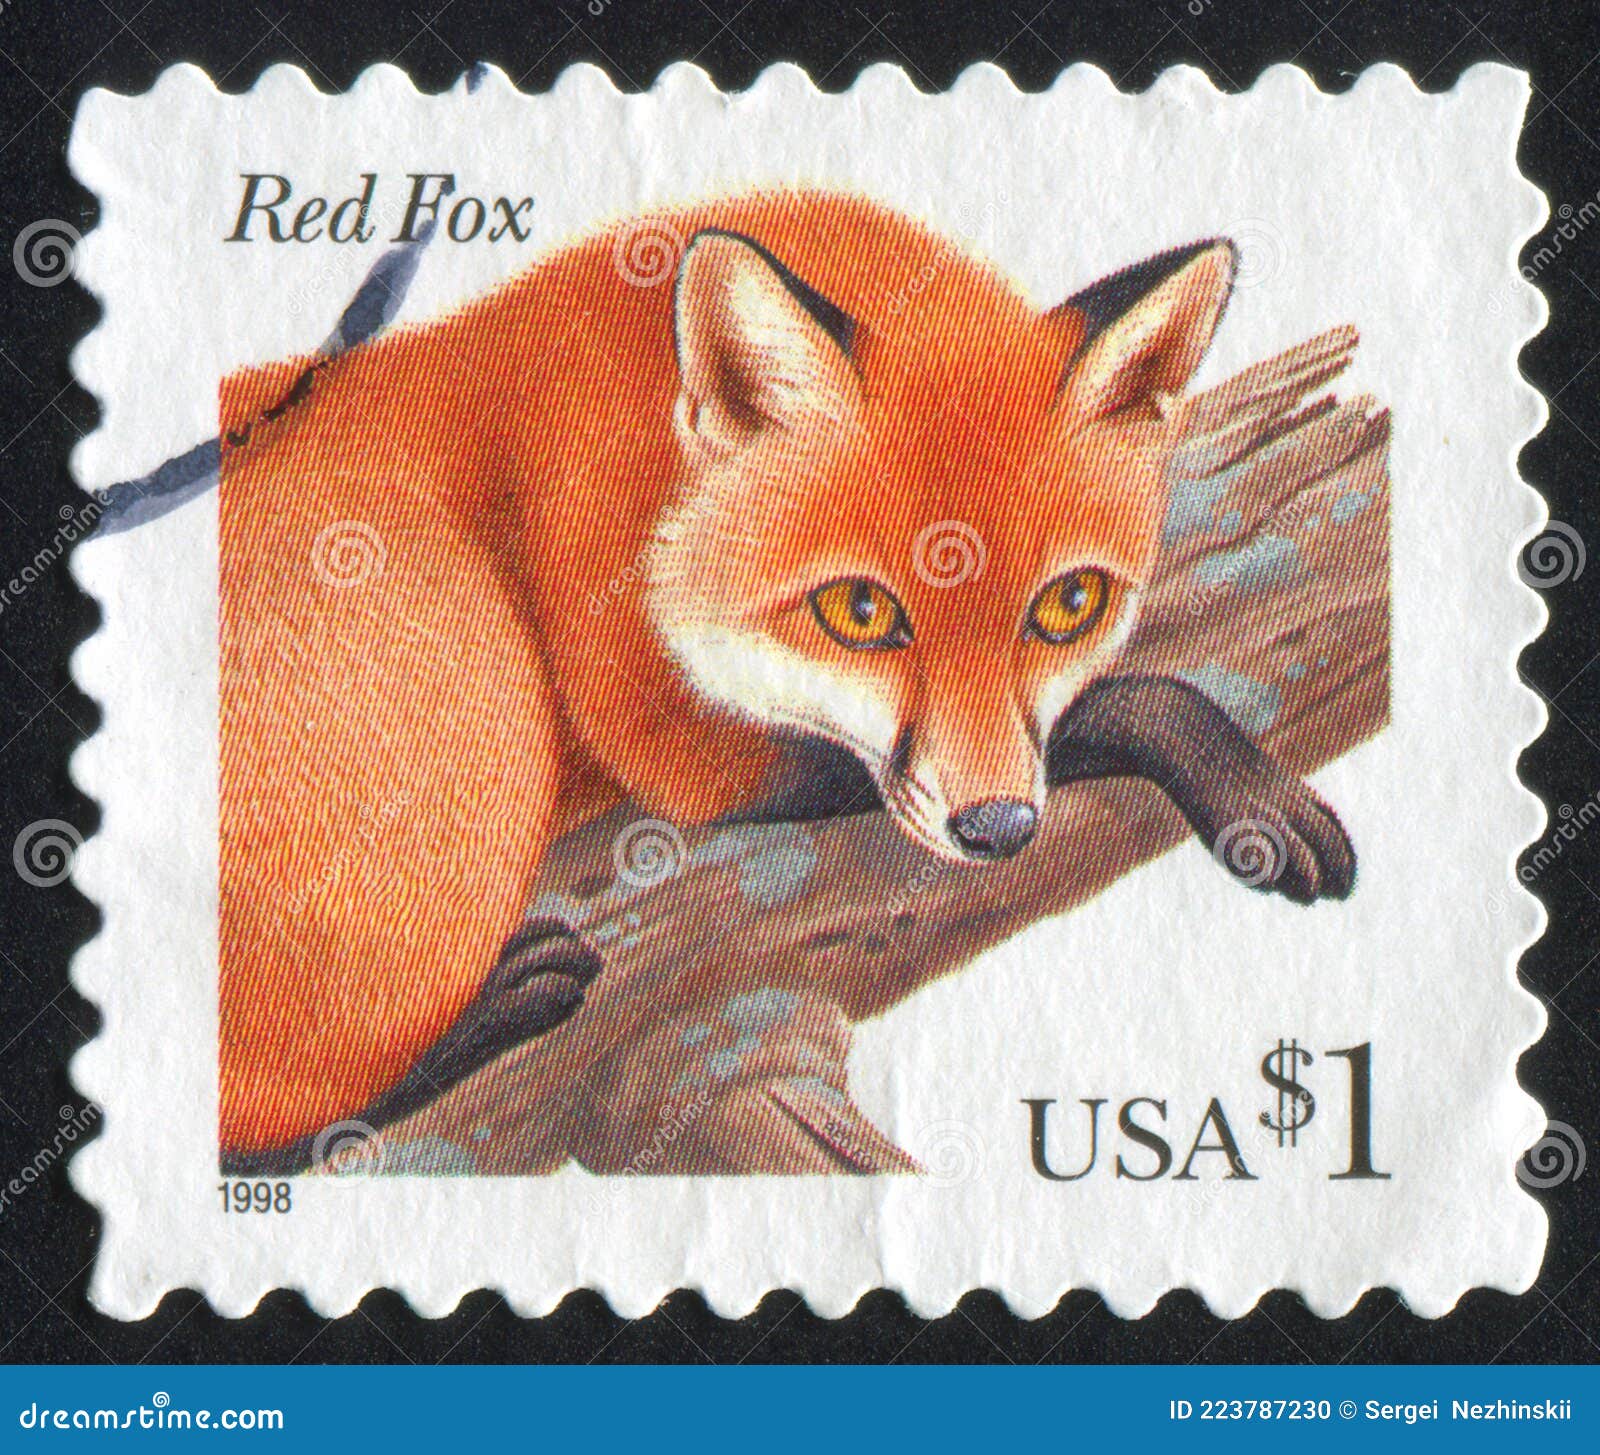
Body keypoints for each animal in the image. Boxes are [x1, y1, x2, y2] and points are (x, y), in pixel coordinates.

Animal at [218, 190, 1355, 1172]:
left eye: (1069, 603)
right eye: (859, 612)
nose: (998, 832)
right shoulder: (672, 737)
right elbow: (1133, 699)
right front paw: (1249, 793)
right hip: (477, 688)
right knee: (274, 1122)